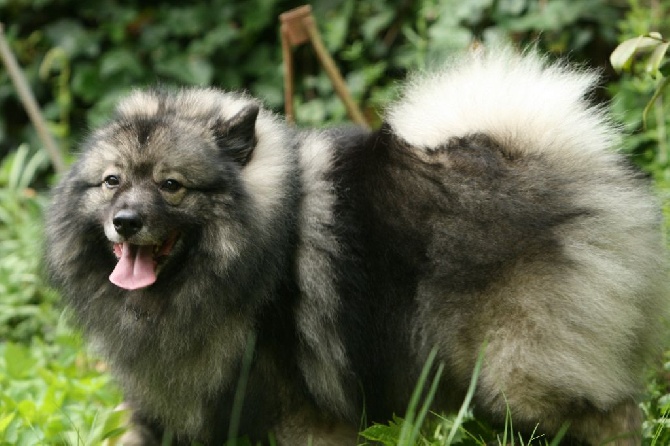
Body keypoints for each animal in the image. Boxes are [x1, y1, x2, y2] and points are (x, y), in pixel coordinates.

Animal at [45, 47, 668, 445]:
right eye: (112, 182)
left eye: (171, 185)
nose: (125, 222)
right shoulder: (164, 405)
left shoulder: (304, 414)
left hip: (522, 372)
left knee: (610, 418)